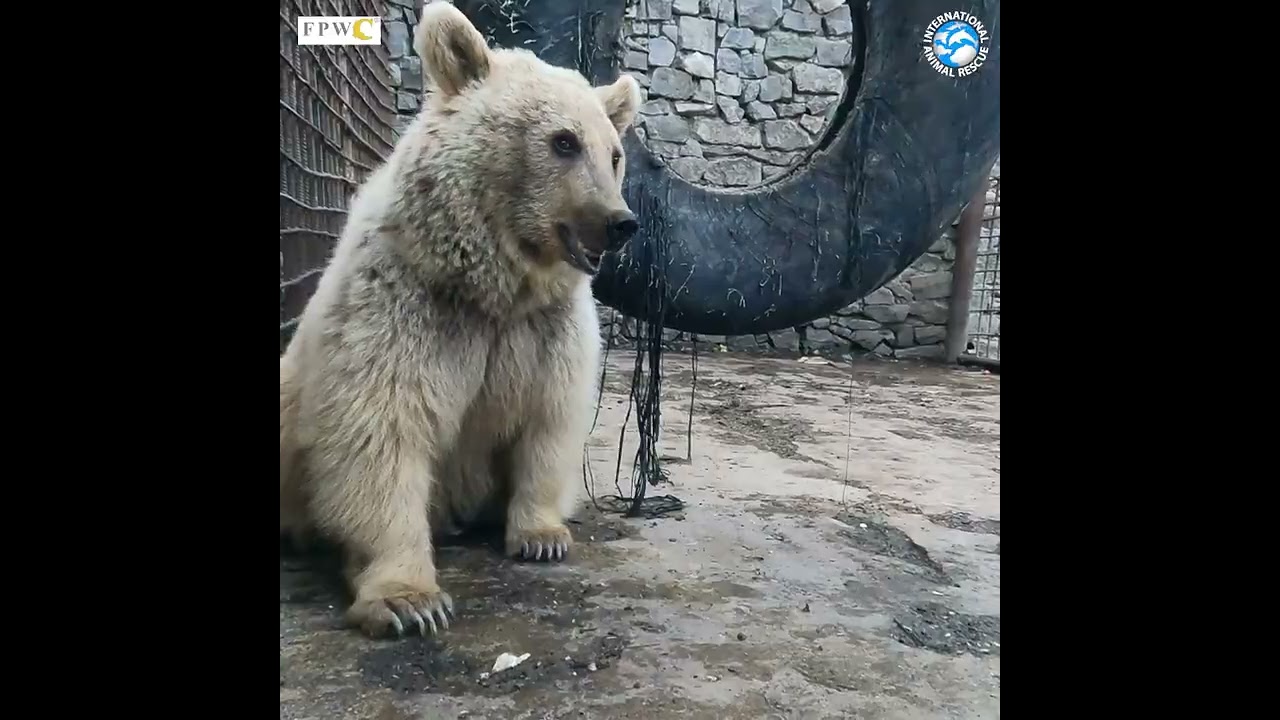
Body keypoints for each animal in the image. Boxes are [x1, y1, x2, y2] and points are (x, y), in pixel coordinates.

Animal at [279, 1, 642, 639]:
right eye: (564, 141)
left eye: (614, 154)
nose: (619, 222)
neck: (493, 283)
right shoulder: (404, 303)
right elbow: (381, 427)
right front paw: (408, 601)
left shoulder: (546, 329)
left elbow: (548, 420)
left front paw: (543, 534)